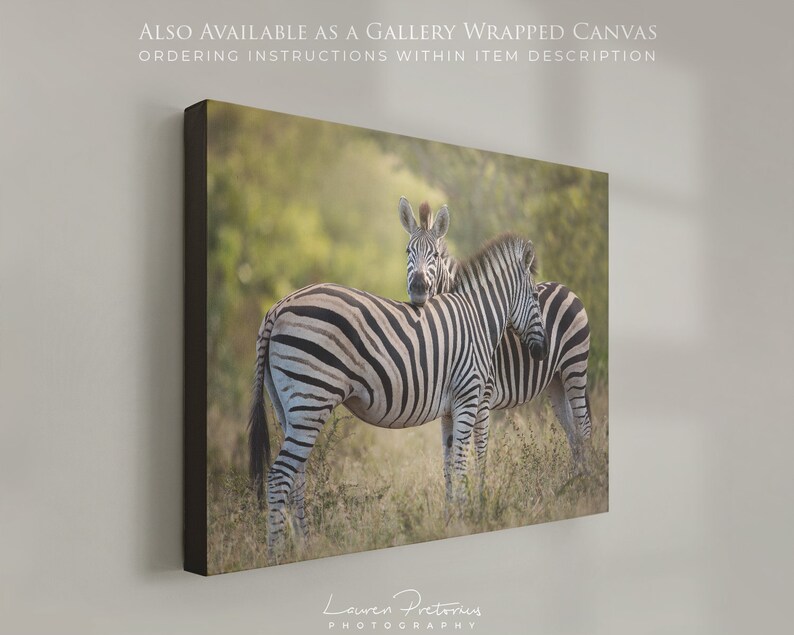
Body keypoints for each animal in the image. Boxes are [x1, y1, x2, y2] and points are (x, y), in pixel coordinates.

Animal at [249, 233, 548, 554]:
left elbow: (448, 463)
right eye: (534, 297)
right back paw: (277, 553)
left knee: (297, 474)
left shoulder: (450, 407)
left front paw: (452, 520)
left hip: (288, 407)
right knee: (279, 476)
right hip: (312, 398)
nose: (542, 351)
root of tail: (278, 307)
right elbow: (460, 462)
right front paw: (467, 517)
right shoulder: (468, 395)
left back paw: (306, 546)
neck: (477, 317)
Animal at [398, 197, 592, 482]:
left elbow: (479, 456)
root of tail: (566, 288)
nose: (418, 288)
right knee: (574, 434)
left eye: (434, 255)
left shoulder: (482, 397)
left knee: (585, 427)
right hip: (556, 381)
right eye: (408, 252)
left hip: (575, 368)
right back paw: (576, 481)